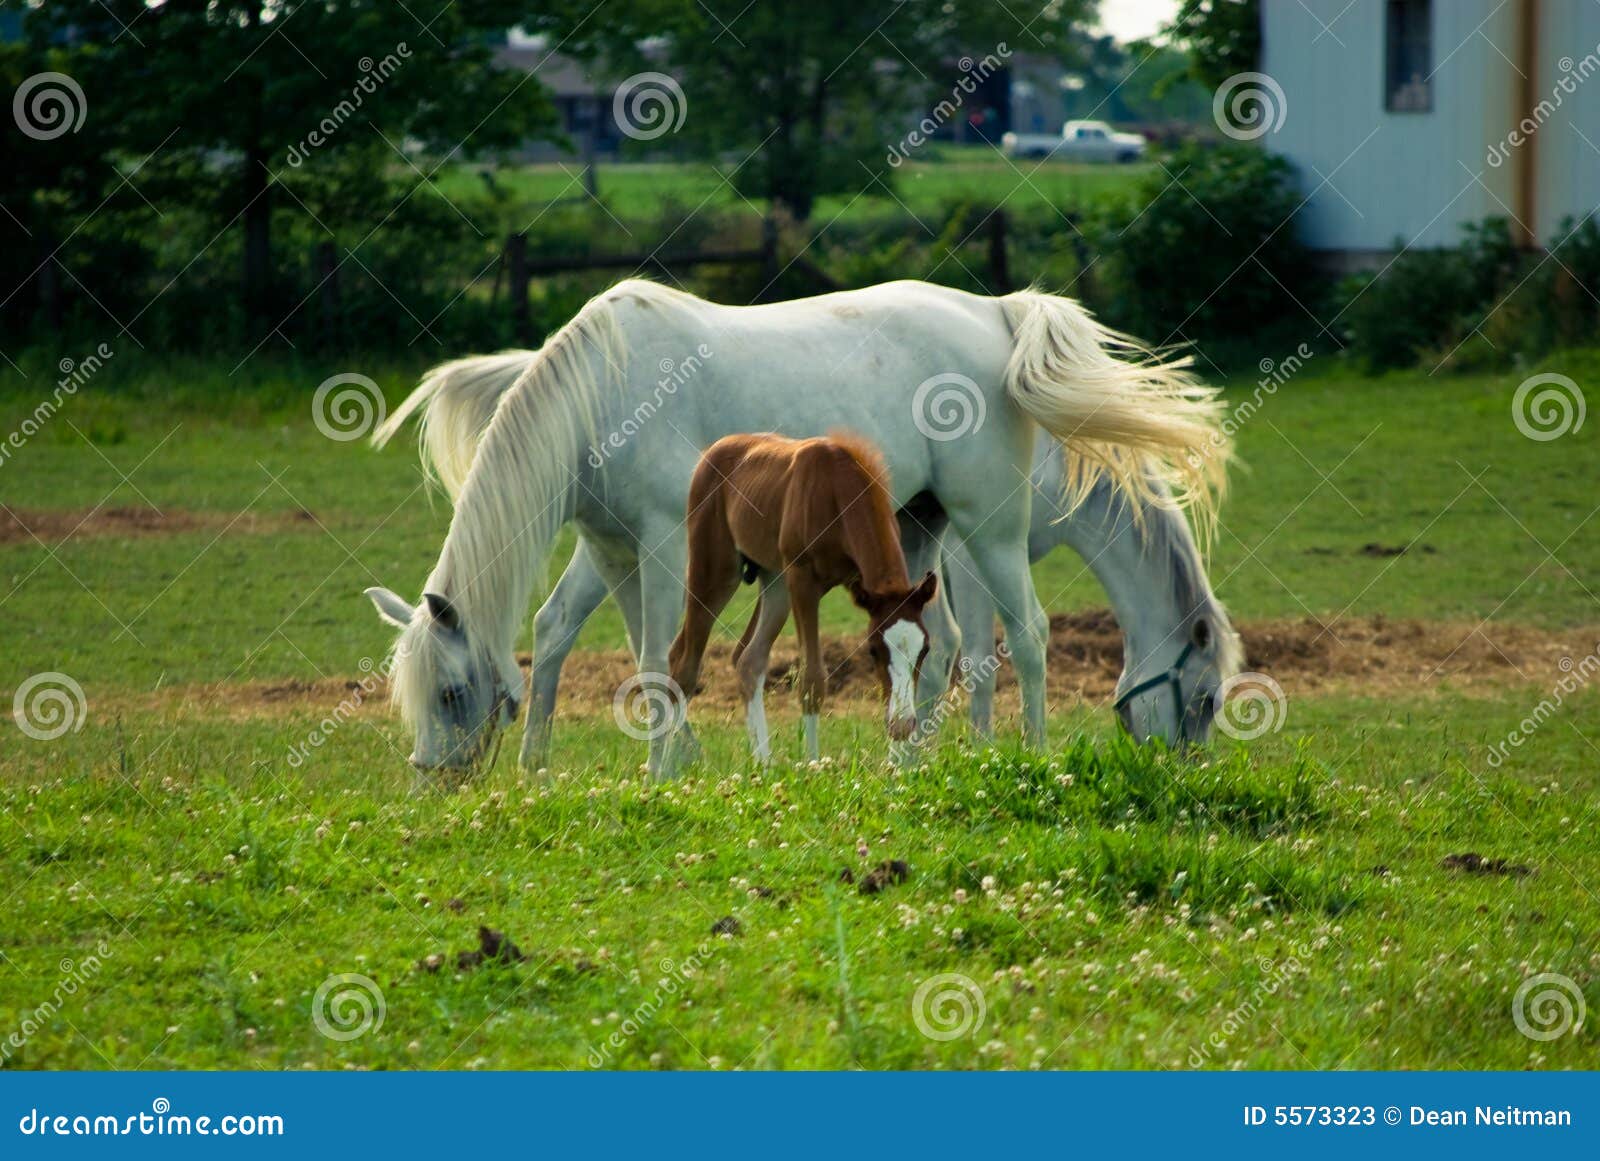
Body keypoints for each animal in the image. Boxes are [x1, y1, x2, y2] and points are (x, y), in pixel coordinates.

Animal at [668, 431, 939, 763]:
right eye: (873, 650)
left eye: (924, 649)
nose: (902, 725)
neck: (837, 487)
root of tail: (713, 451)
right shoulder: (803, 580)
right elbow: (812, 679)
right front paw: (813, 765)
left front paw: (897, 765)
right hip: (718, 573)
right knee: (684, 664)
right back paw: (665, 763)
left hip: (775, 582)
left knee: (748, 659)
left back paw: (764, 764)